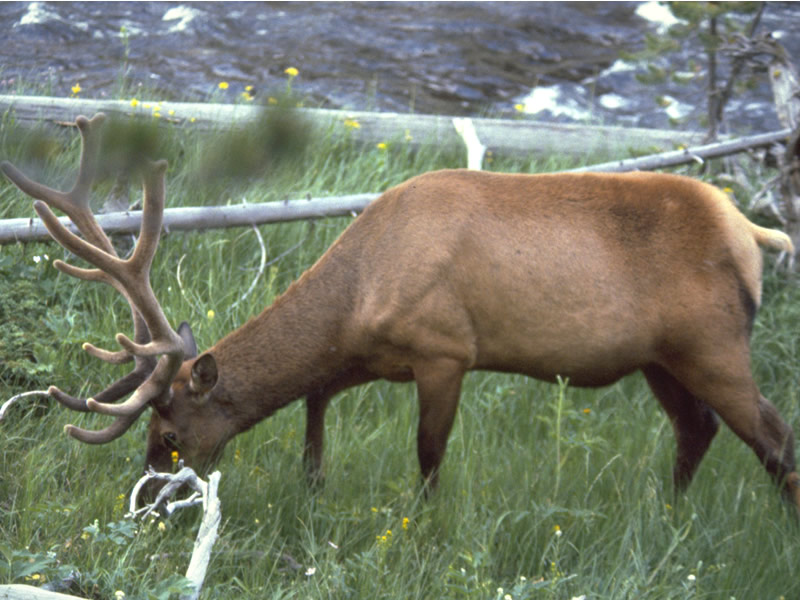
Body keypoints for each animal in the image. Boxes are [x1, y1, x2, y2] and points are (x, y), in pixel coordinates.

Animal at [3, 112, 800, 513]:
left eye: (169, 434)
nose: (139, 504)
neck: (359, 291)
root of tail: (753, 233)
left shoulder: (446, 350)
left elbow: (427, 454)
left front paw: (422, 527)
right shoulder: (369, 356)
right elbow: (314, 406)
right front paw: (313, 488)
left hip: (712, 343)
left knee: (772, 434)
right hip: (661, 358)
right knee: (697, 430)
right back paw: (669, 513)